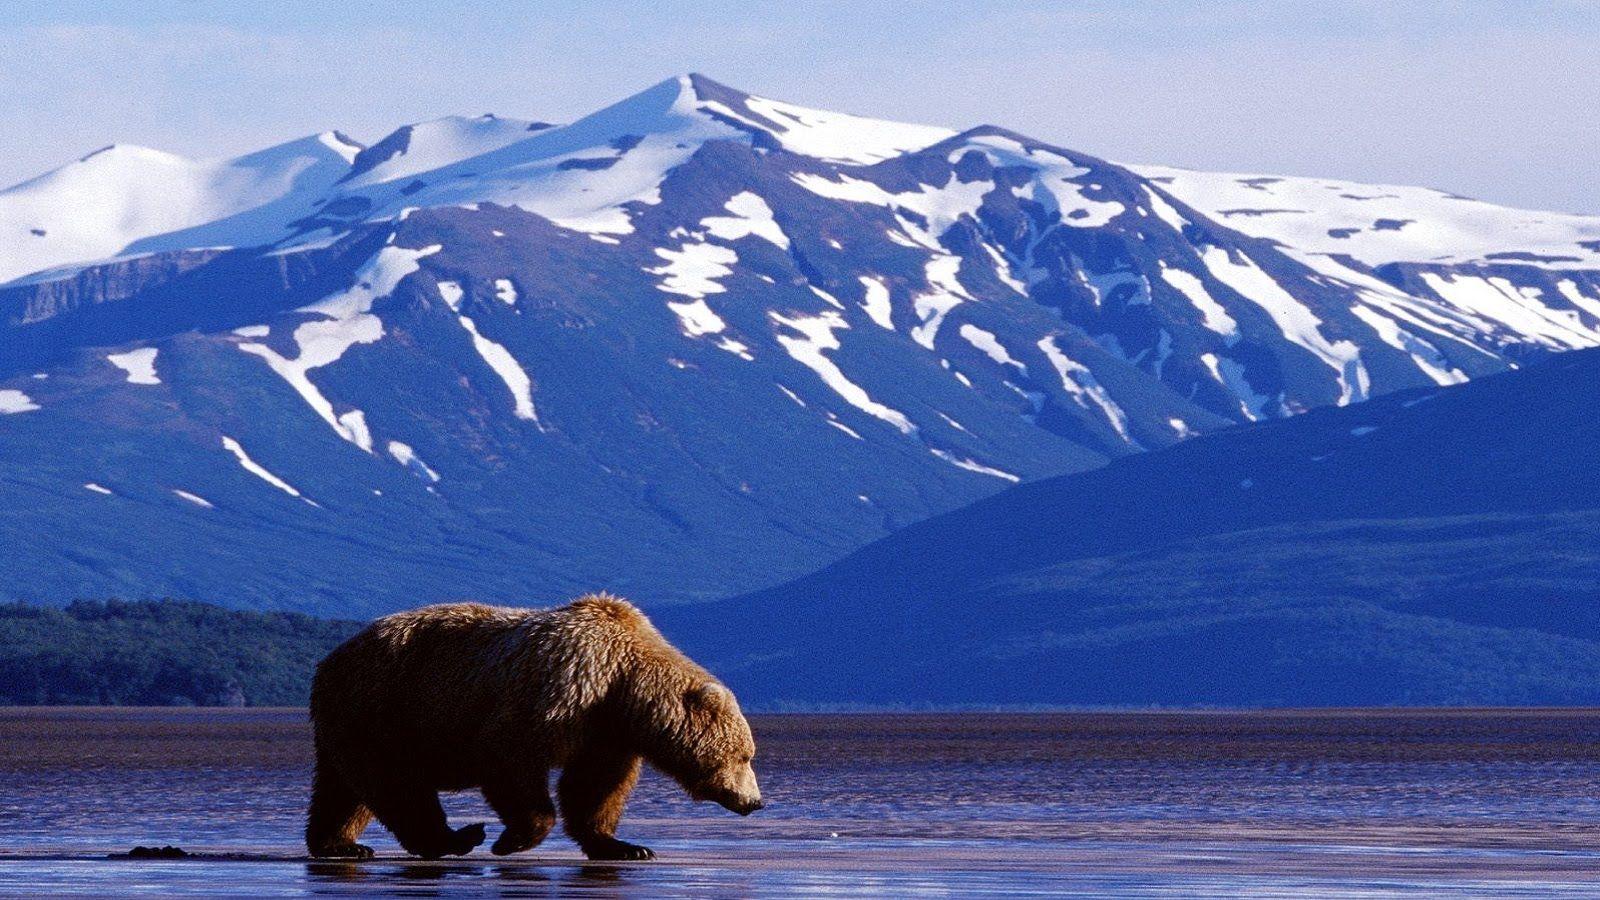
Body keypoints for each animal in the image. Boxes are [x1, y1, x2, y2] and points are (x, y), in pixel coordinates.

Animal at [305, 594, 762, 860]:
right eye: (745, 755)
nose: (755, 802)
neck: (623, 685)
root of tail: (329, 661)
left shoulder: (605, 733)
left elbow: (595, 787)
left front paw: (625, 846)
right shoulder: (560, 693)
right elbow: (508, 756)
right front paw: (514, 838)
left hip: (354, 719)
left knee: (343, 789)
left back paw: (339, 843)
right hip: (386, 707)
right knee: (396, 782)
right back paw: (454, 838)